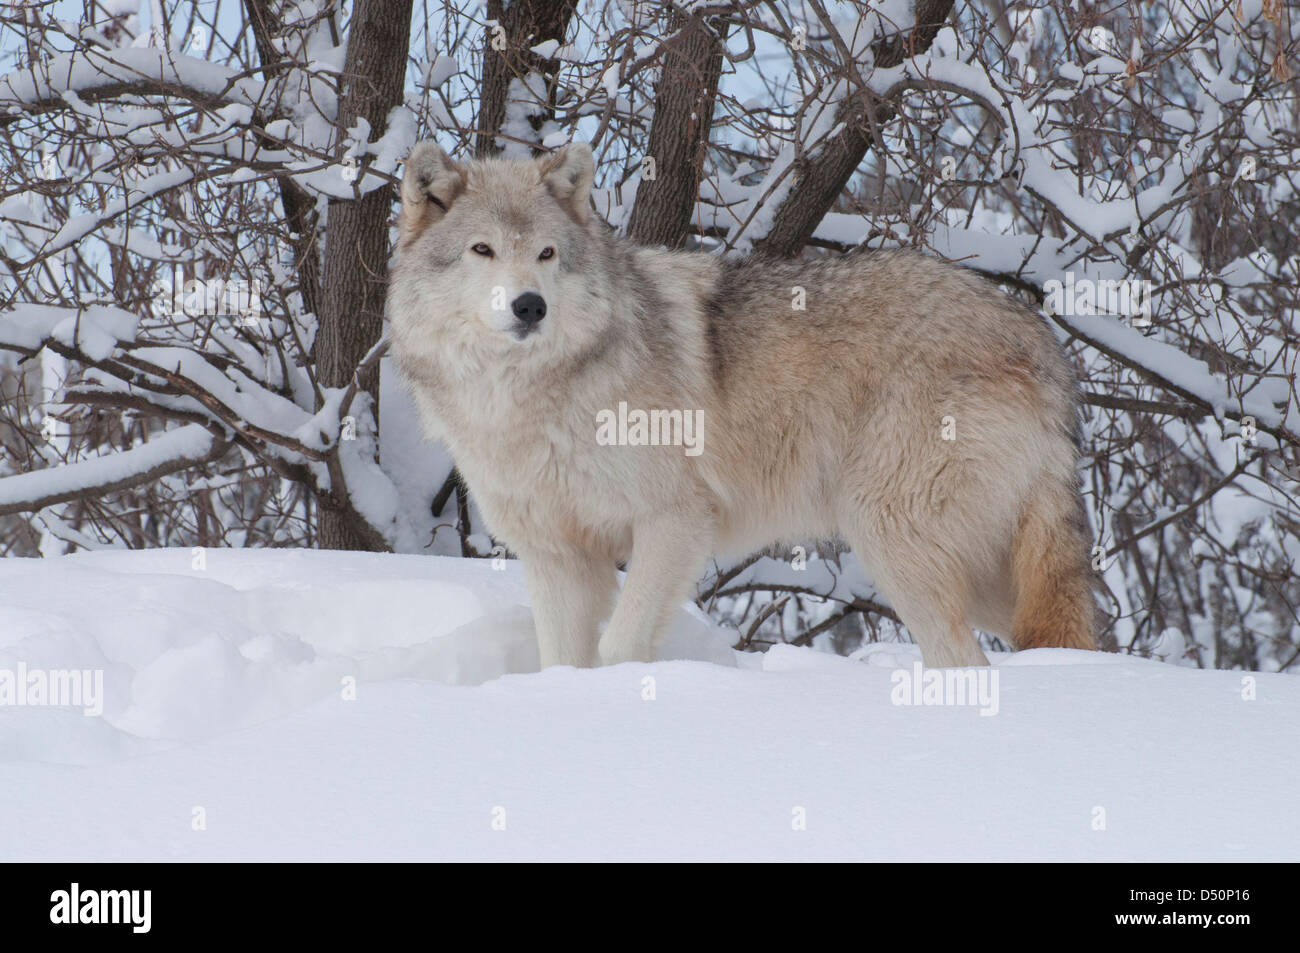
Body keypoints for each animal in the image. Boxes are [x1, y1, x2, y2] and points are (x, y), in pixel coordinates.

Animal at [387, 141, 1098, 669]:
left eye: (546, 254)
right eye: (482, 250)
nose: (529, 306)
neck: (526, 397)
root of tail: (1044, 343)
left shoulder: (674, 521)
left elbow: (619, 647)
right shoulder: (558, 554)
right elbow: (563, 661)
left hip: (894, 540)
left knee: (968, 661)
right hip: (981, 572)